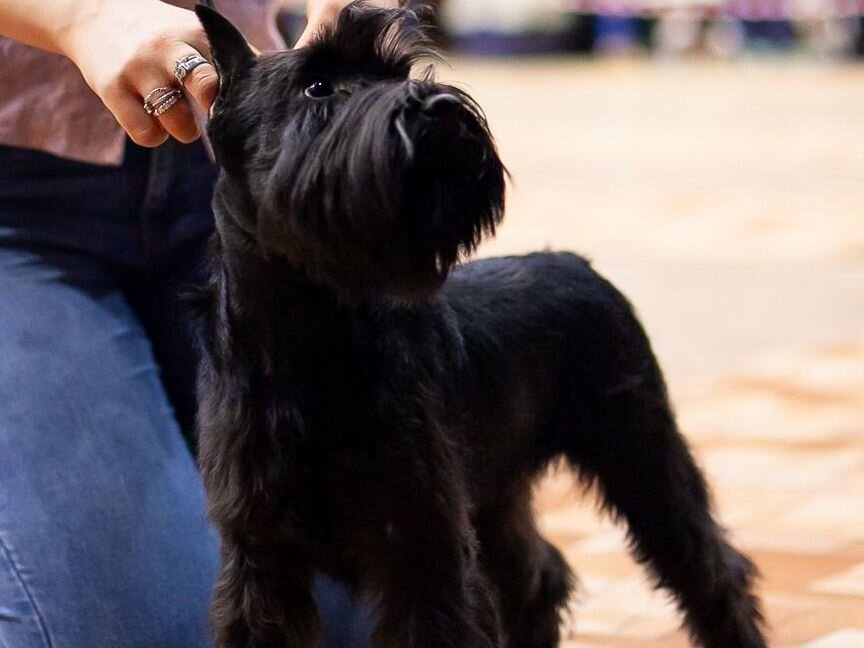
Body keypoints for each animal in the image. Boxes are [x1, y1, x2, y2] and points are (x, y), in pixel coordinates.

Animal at [192, 2, 768, 644]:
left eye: (399, 73)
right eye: (316, 86)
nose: (441, 109)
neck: (308, 338)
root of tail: (575, 261)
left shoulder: (422, 544)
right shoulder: (261, 554)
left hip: (641, 457)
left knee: (711, 567)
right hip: (498, 494)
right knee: (539, 574)